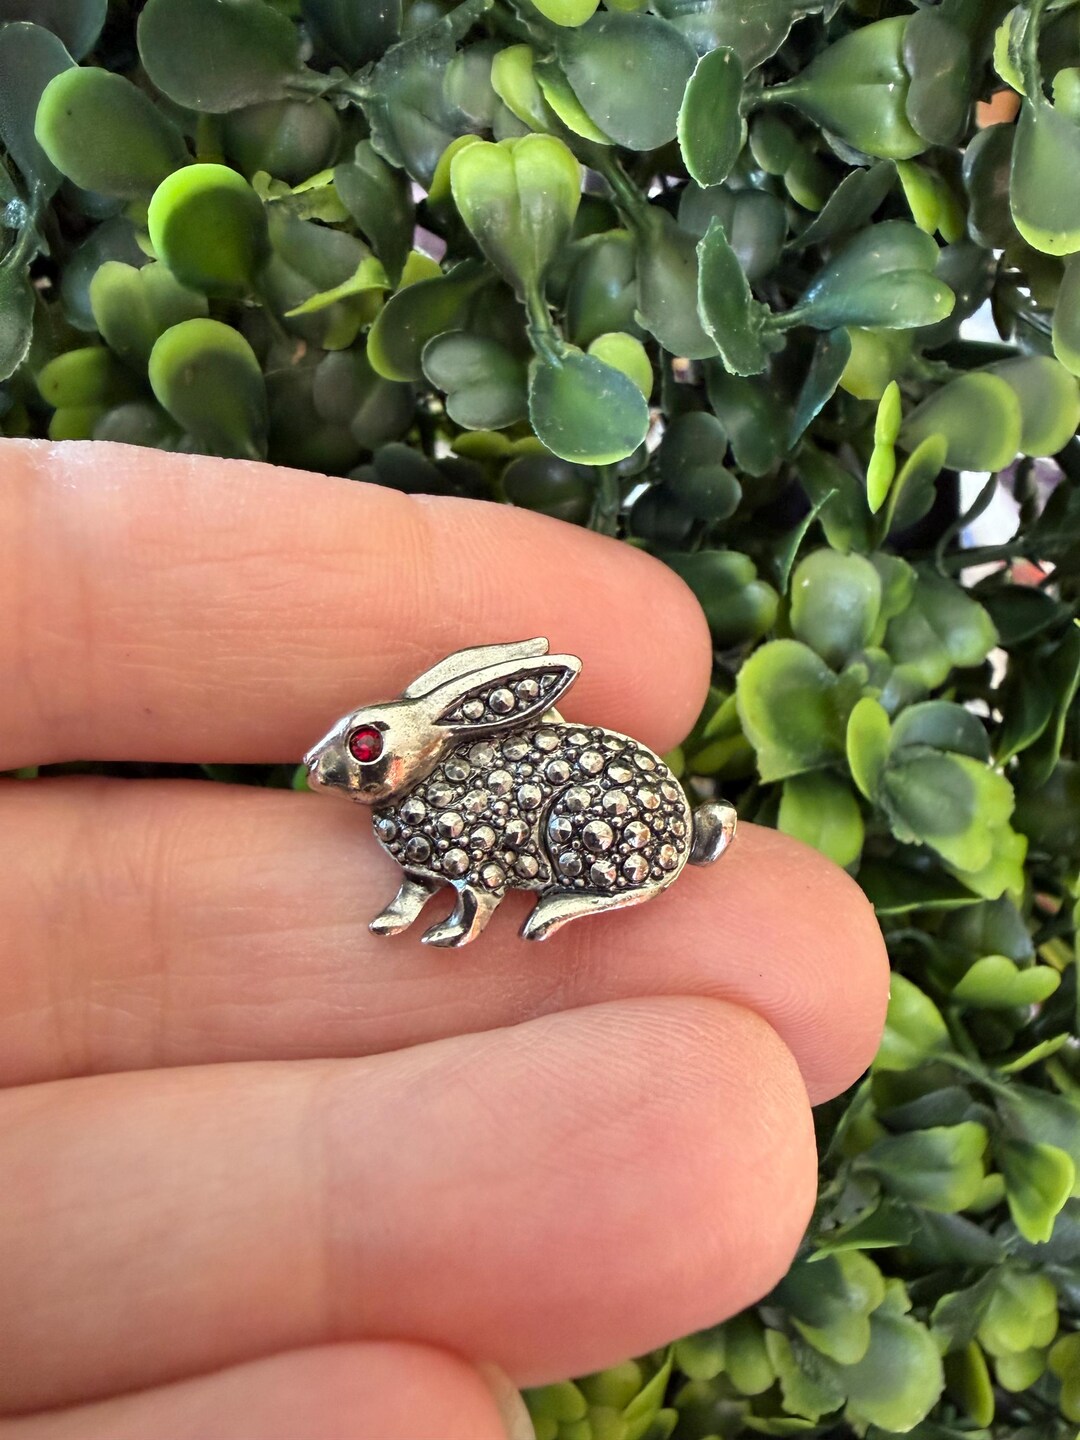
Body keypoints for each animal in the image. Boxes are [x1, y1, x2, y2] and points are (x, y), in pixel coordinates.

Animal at [304, 638, 736, 947]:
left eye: (364, 743)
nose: (309, 764)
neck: (425, 773)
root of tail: (688, 835)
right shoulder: (423, 868)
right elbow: (411, 893)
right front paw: (387, 923)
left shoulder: (482, 865)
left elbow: (474, 909)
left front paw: (444, 936)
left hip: (581, 827)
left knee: (625, 891)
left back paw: (544, 916)